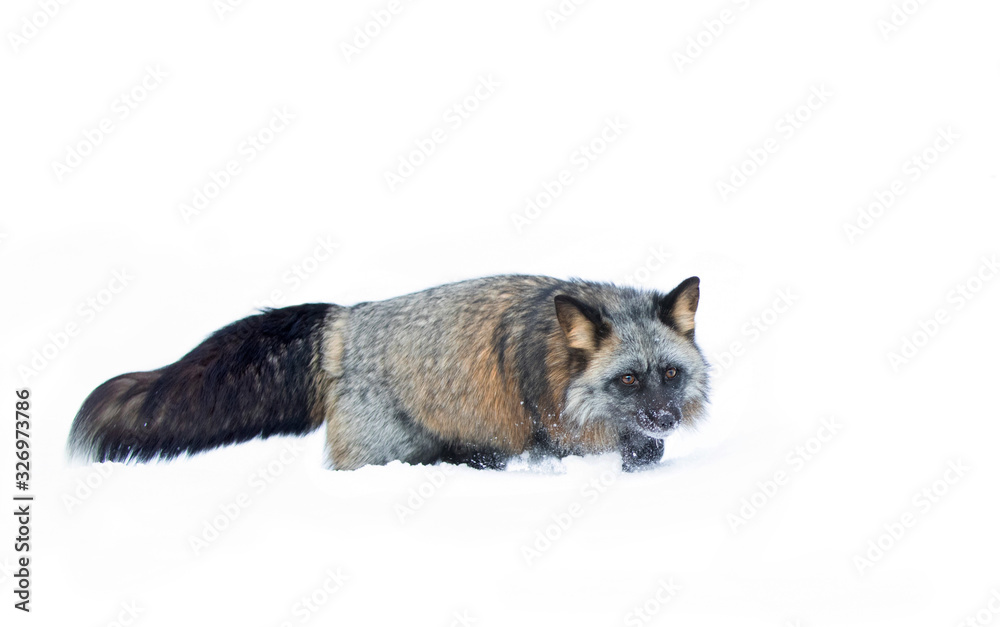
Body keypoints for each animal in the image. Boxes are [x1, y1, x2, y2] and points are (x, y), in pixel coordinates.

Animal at [68, 275, 709, 471]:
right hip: (386, 452)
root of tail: (345, 319)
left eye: (669, 374)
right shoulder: (557, 436)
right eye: (628, 380)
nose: (663, 417)